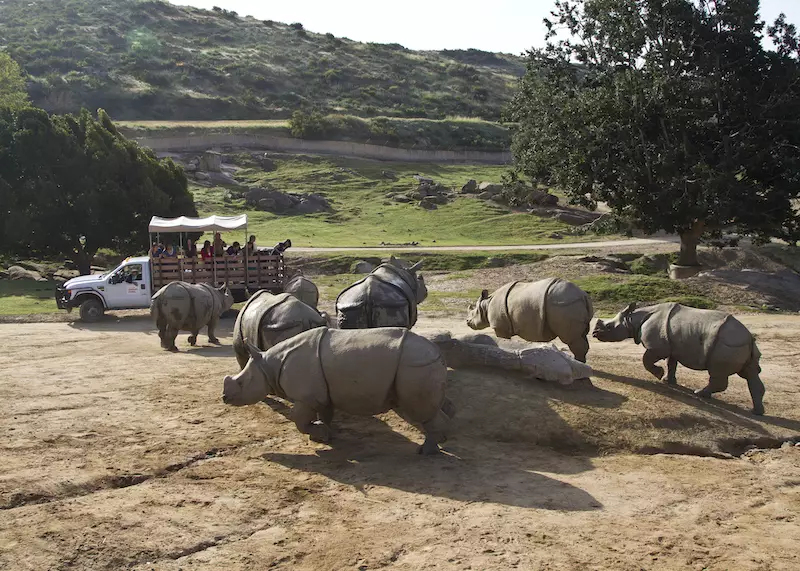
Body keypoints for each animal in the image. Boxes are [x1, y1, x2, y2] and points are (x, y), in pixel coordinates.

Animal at [222, 326, 454, 456]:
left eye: (241, 383)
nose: (224, 397)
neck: (269, 366)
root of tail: (438, 352)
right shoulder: (321, 395)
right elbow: (325, 414)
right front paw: (324, 436)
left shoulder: (304, 398)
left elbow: (299, 420)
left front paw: (317, 435)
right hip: (417, 365)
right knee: (427, 408)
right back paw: (440, 442)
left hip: (414, 365)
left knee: (420, 410)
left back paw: (425, 452)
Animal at [592, 304, 764, 416]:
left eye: (609, 327)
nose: (594, 333)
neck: (632, 319)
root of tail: (749, 337)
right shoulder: (671, 346)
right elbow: (671, 363)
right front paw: (668, 381)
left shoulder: (657, 347)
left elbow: (646, 360)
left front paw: (658, 374)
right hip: (739, 344)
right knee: (750, 374)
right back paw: (756, 412)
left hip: (726, 344)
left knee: (718, 373)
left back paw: (700, 393)